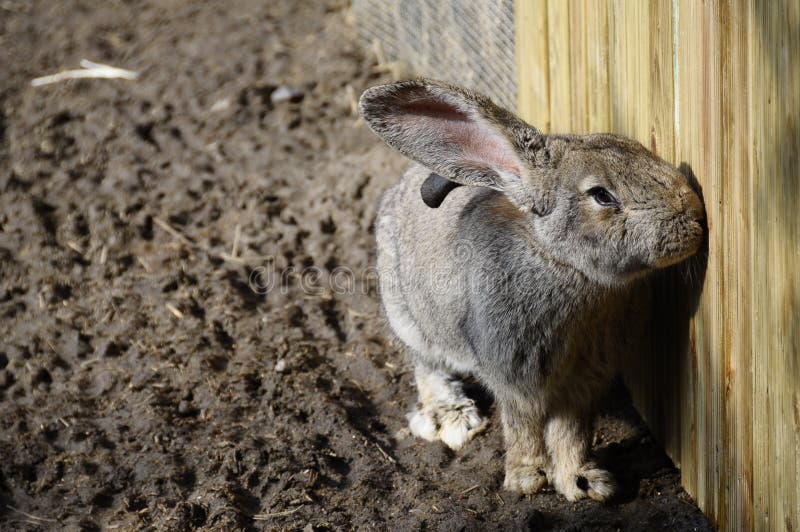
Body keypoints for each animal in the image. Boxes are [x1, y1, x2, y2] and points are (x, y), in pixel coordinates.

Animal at [359, 79, 704, 501]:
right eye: (602, 196)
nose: (694, 216)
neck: (562, 264)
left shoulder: (586, 378)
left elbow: (572, 431)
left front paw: (584, 482)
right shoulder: (513, 373)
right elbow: (523, 425)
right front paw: (528, 478)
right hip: (408, 319)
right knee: (427, 367)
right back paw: (451, 418)